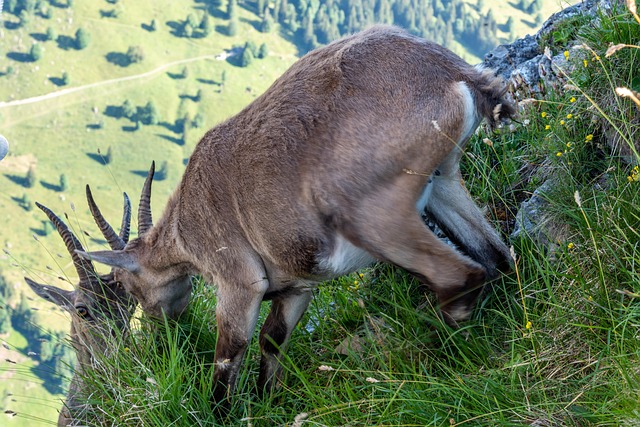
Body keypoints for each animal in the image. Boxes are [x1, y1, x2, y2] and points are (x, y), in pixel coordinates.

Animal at [79, 25, 516, 402]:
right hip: (443, 180)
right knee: (496, 257)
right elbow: (273, 338)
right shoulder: (297, 285)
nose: (161, 333)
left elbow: (229, 353)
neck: (187, 230)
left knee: (458, 275)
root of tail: (453, 73)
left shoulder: (239, 281)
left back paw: (439, 357)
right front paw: (265, 399)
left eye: (130, 288)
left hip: (370, 212)